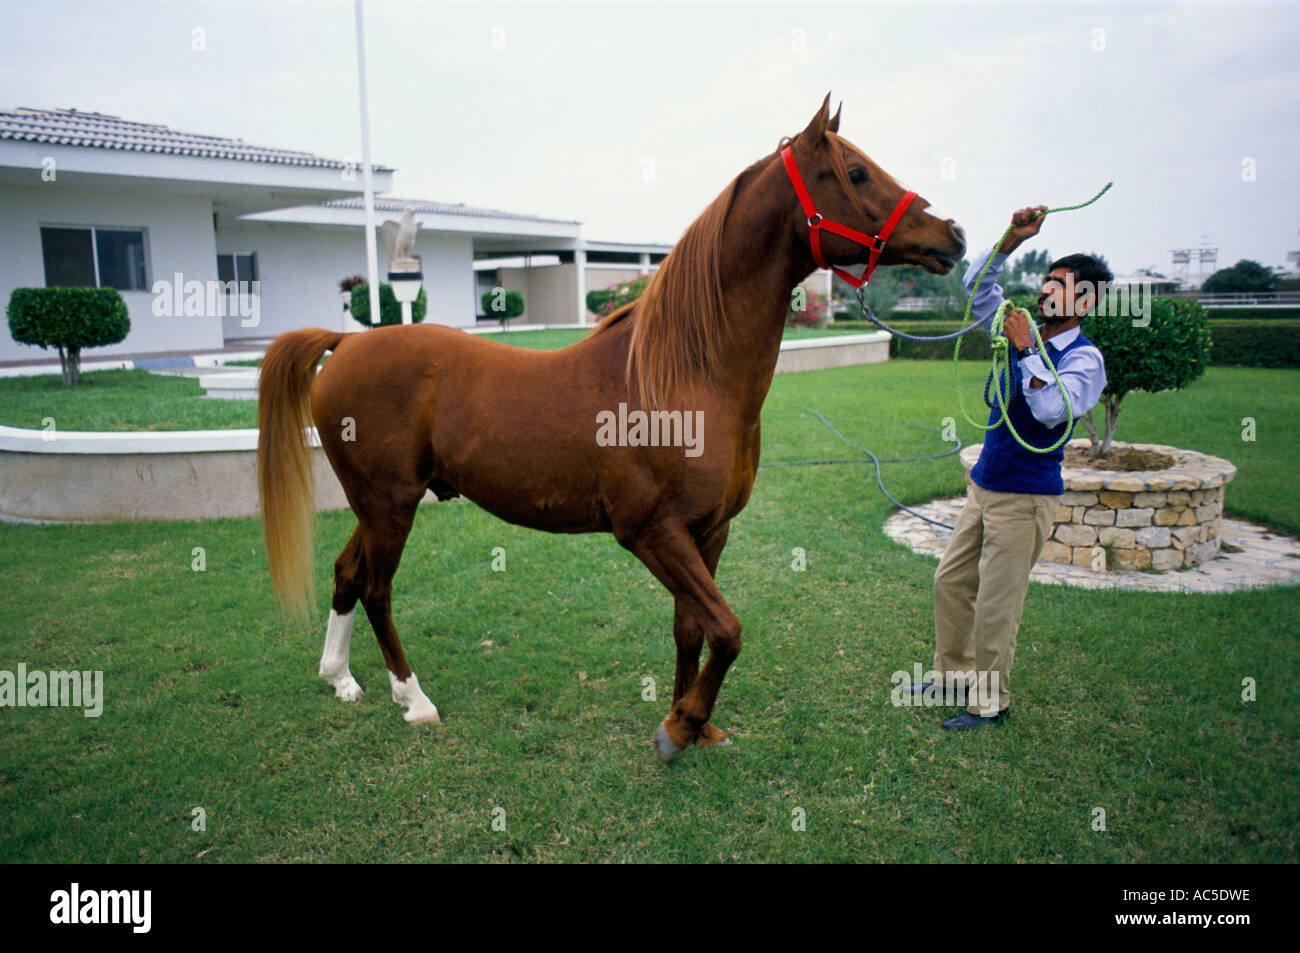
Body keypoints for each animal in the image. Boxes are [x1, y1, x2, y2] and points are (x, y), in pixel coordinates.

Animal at [256, 95, 966, 761]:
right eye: (856, 172)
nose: (952, 235)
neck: (686, 375)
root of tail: (346, 342)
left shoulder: (708, 531)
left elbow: (692, 629)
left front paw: (695, 725)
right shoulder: (651, 532)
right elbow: (729, 630)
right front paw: (678, 728)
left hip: (379, 505)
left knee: (348, 574)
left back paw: (341, 679)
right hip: (390, 506)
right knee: (376, 588)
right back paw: (414, 700)